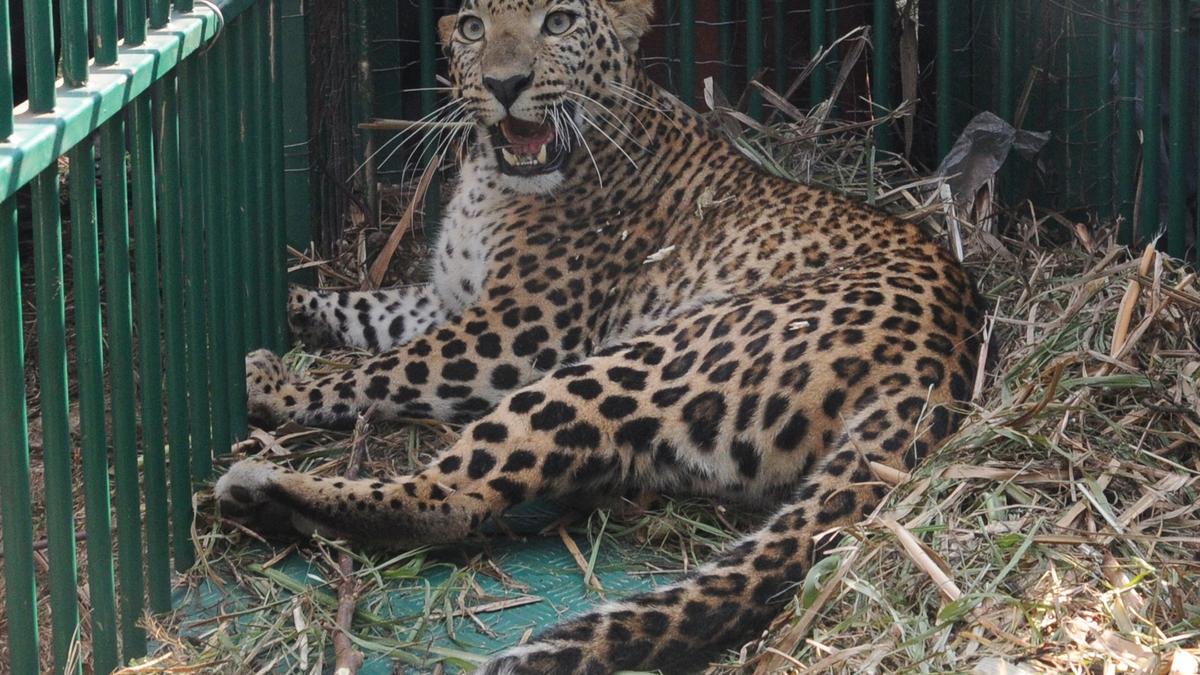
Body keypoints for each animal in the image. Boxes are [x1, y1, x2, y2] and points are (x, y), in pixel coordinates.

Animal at [214, 0, 986, 672]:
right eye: (472, 27)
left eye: (557, 22)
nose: (504, 84)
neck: (491, 177)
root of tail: (945, 367)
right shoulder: (446, 298)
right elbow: (368, 311)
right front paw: (295, 305)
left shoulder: (511, 330)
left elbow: (377, 369)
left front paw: (268, 378)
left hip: (631, 362)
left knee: (456, 497)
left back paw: (266, 488)